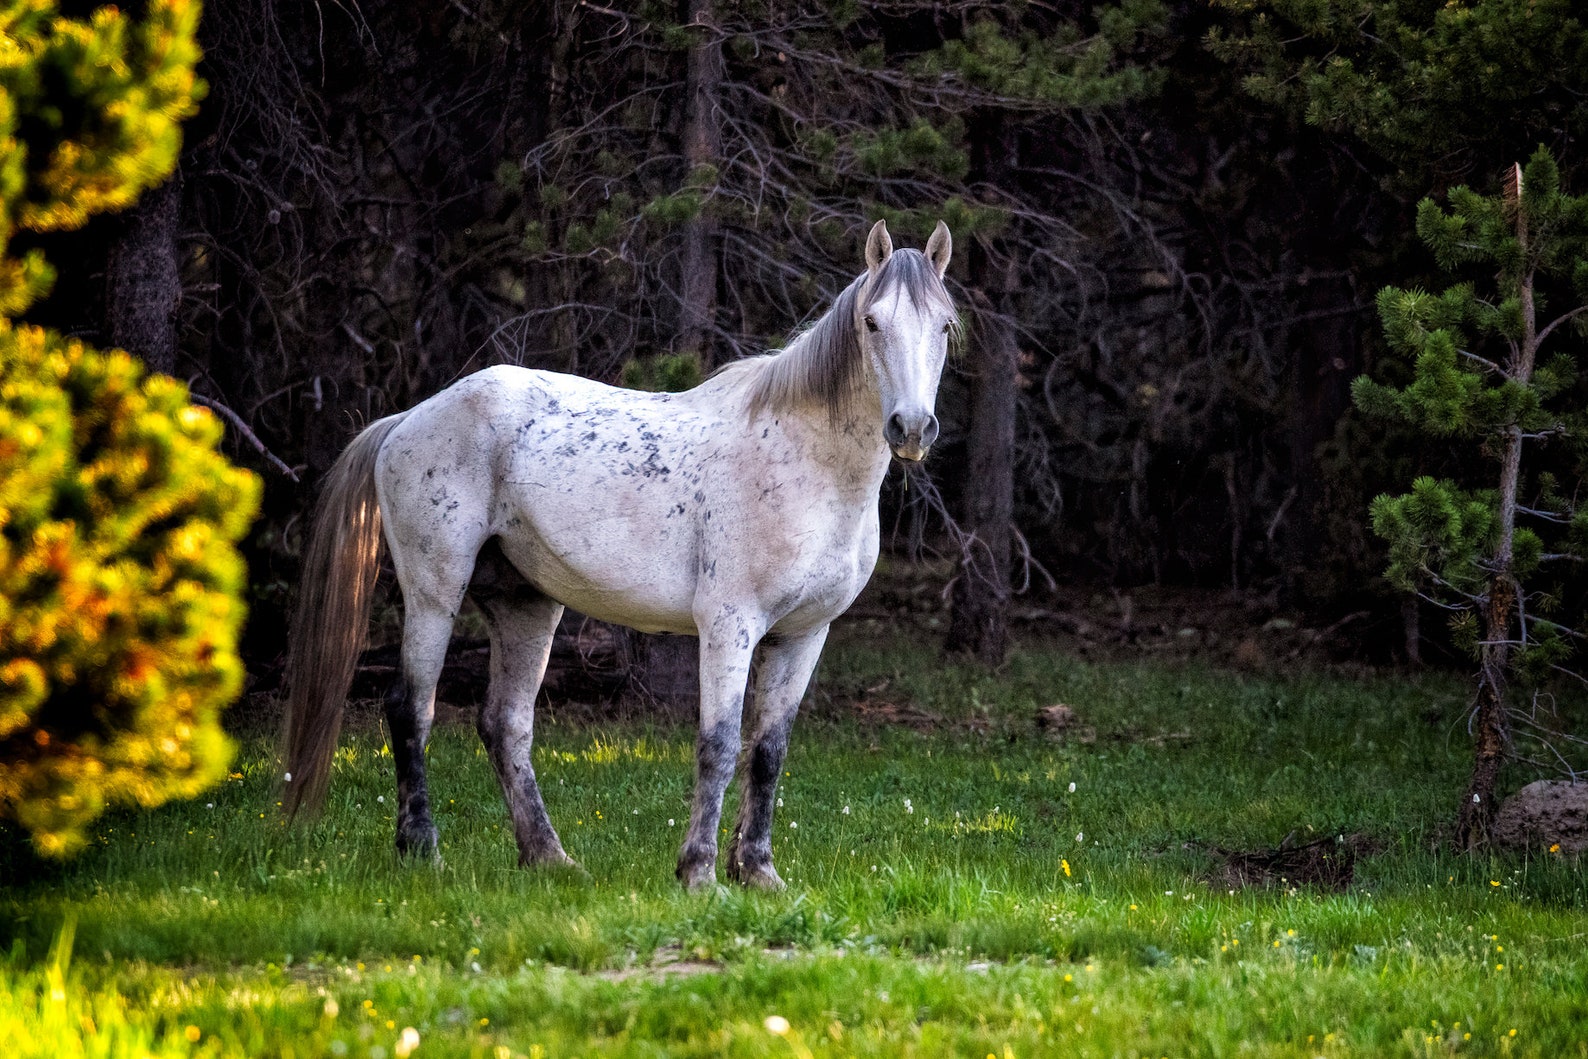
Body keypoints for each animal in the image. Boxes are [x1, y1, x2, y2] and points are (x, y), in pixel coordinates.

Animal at [282, 219, 958, 889]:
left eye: (945, 327)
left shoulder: (803, 634)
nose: (912, 429)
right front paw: (699, 874)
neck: (806, 462)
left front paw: (759, 873)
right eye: (872, 323)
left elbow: (768, 753)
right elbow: (718, 746)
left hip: (526, 606)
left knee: (506, 725)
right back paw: (422, 849)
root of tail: (407, 419)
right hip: (434, 594)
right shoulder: (730, 626)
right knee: (410, 709)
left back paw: (549, 857)